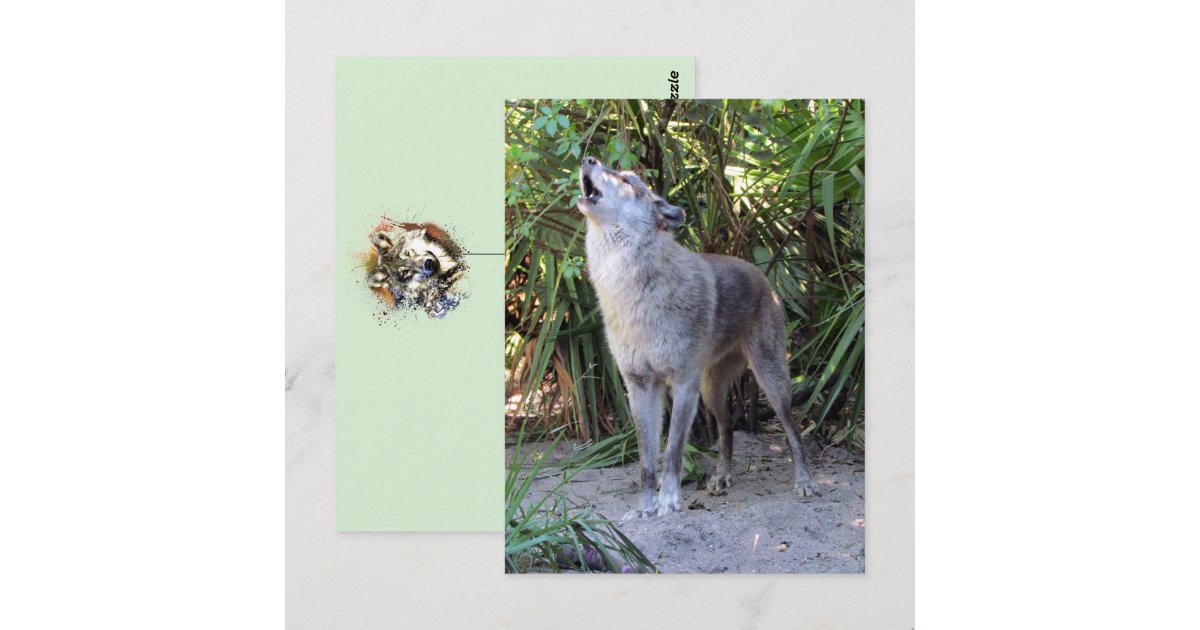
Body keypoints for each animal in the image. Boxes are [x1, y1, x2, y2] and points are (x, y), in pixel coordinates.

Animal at [577, 156, 818, 519]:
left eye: (627, 181)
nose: (587, 158)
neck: (631, 291)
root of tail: (760, 273)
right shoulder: (640, 385)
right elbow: (646, 461)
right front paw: (645, 508)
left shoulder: (682, 383)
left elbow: (673, 451)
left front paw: (668, 503)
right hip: (711, 391)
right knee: (727, 427)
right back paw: (721, 478)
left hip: (770, 383)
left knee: (793, 429)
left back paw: (804, 481)